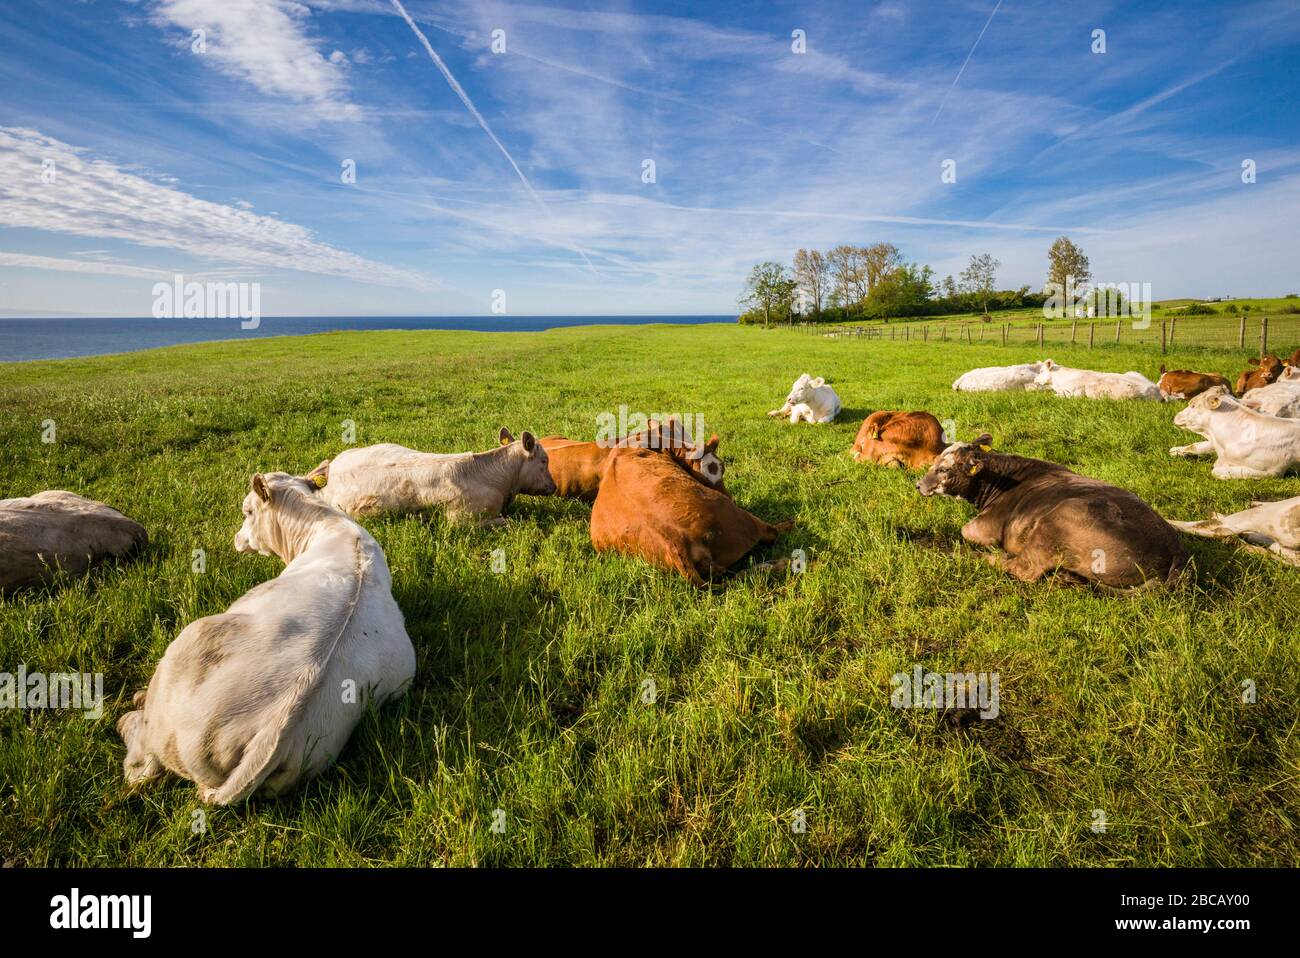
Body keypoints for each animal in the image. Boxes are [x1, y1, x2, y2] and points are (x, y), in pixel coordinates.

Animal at [117, 471, 415, 804]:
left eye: (247, 510)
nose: (237, 538)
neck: (326, 525)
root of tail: (277, 723)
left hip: (188, 643)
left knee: (142, 763)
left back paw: (132, 714)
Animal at [916, 435, 1187, 589]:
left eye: (943, 469)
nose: (919, 485)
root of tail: (1176, 551)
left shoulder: (988, 525)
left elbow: (966, 531)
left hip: (1054, 525)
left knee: (1023, 568)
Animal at [1170, 386, 1300, 478]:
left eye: (1193, 405)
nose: (1177, 415)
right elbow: (1196, 446)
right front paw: (1175, 451)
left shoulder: (1271, 472)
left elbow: (1216, 471)